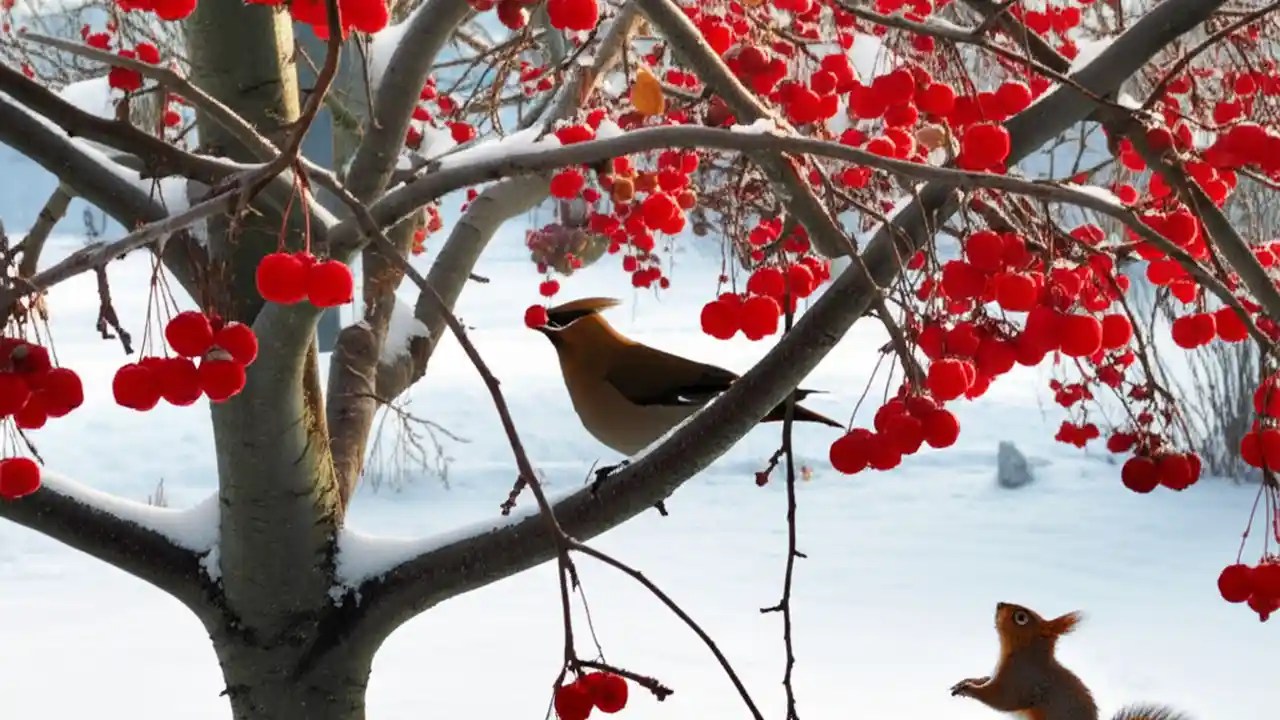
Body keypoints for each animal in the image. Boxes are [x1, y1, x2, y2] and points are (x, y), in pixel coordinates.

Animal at [949, 602, 1194, 720]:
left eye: (1021, 617)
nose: (999, 603)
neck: (1024, 652)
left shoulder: (1021, 679)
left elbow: (1002, 699)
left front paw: (969, 688)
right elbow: (987, 678)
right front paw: (969, 680)